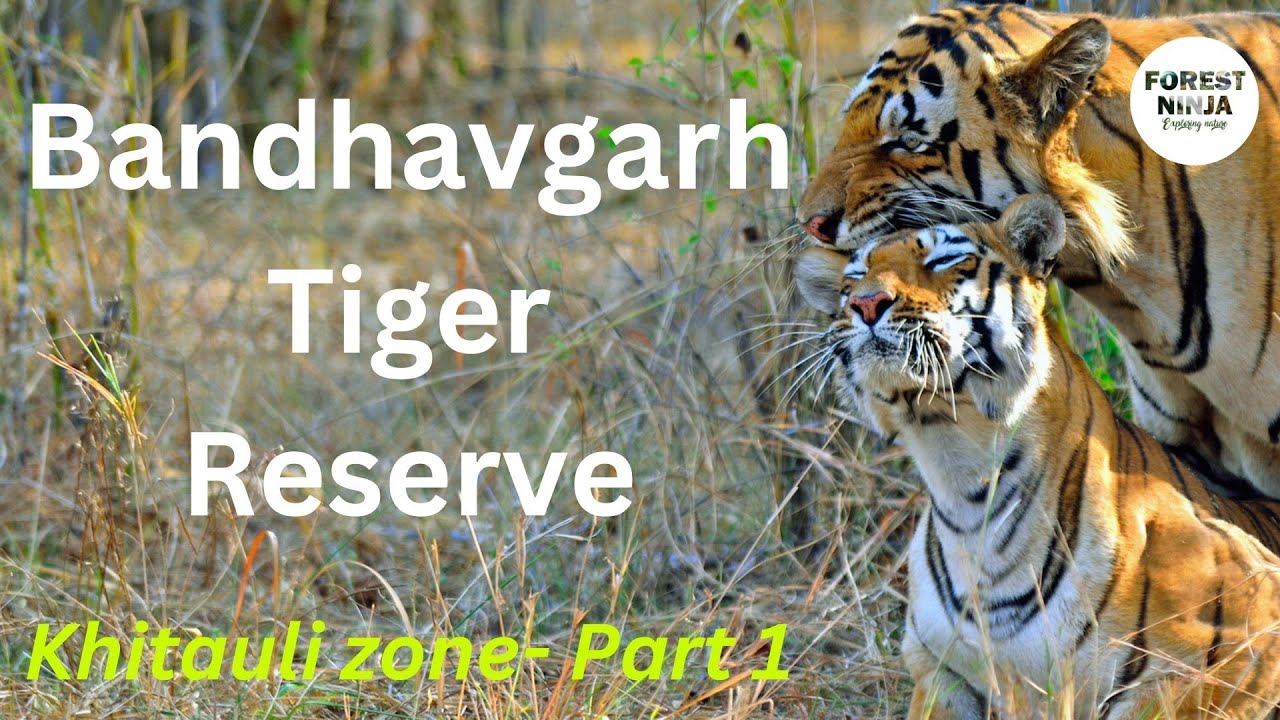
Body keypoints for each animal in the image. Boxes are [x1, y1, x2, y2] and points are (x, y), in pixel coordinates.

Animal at [794, 194, 1280, 719]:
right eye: (853, 277)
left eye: (943, 259)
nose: (865, 303)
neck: (961, 473)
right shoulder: (937, 671)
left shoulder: (1239, 642)